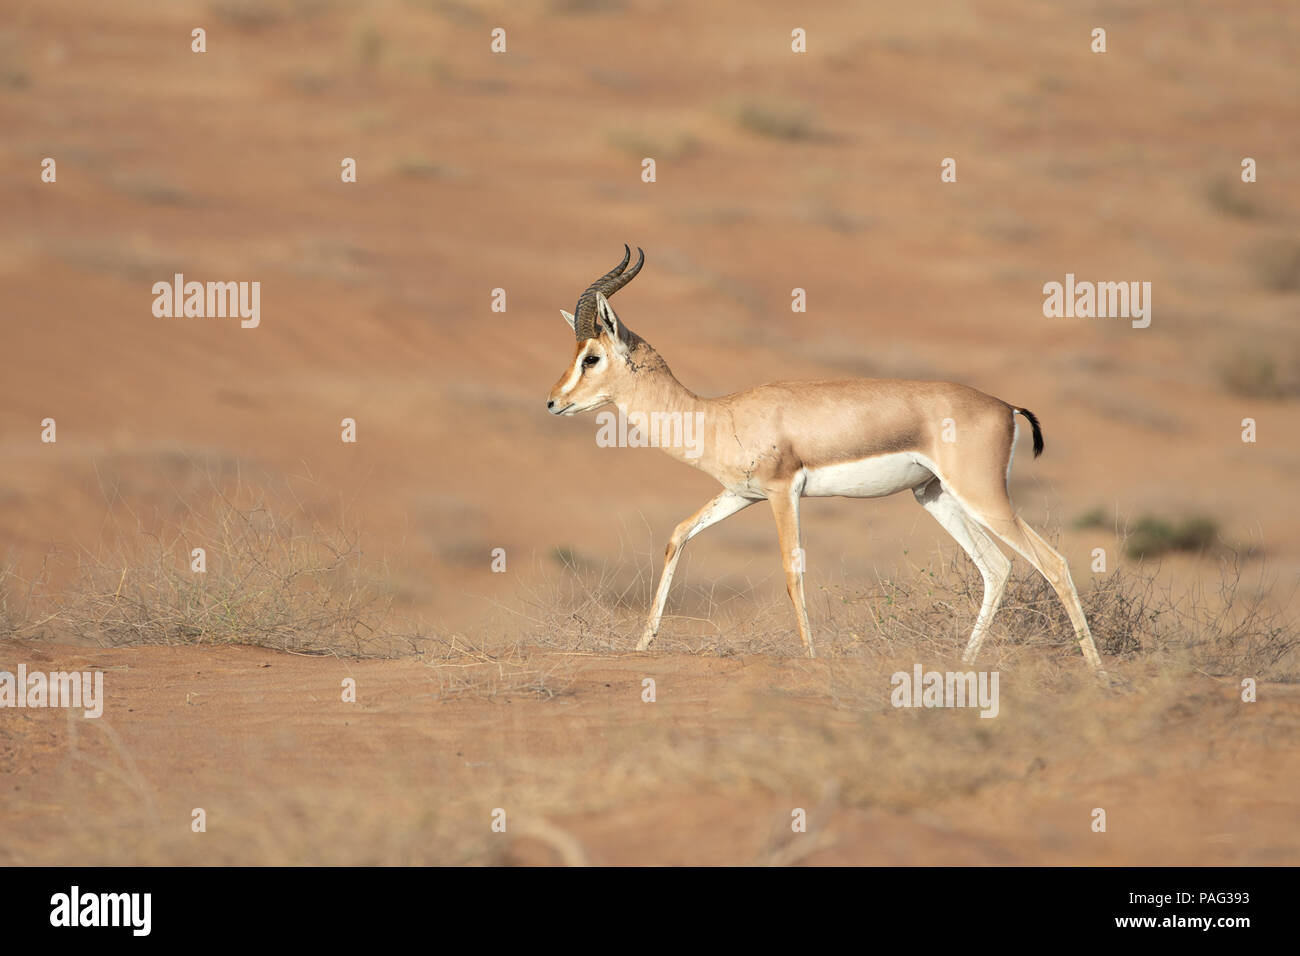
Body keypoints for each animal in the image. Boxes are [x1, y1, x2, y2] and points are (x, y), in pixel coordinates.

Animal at [546, 247, 1103, 670]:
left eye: (591, 357)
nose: (553, 402)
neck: (717, 414)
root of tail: (1005, 406)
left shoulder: (781, 492)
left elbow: (792, 569)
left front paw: (810, 655)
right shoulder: (739, 495)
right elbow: (677, 535)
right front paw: (644, 642)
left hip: (983, 497)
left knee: (1051, 562)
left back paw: (1096, 672)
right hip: (935, 496)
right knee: (997, 567)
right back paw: (966, 664)